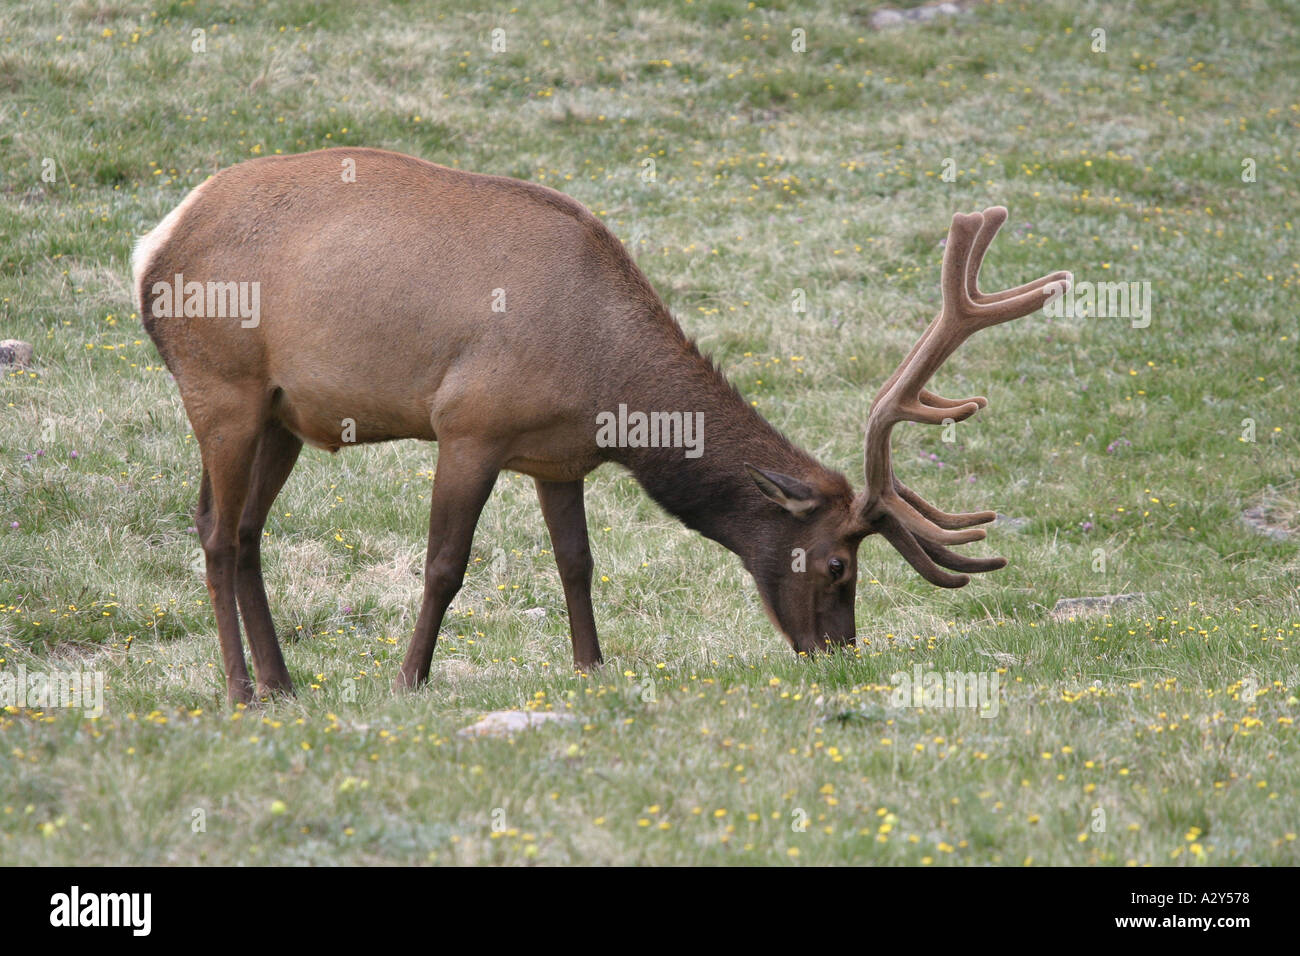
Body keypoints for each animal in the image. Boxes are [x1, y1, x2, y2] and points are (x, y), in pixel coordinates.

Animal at [131, 147, 1070, 704]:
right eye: (837, 564)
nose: (839, 655)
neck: (605, 380)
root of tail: (152, 245)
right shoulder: (468, 424)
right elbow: (444, 566)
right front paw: (409, 678)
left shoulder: (558, 458)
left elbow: (578, 565)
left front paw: (591, 668)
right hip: (221, 387)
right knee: (212, 529)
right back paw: (240, 690)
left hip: (282, 413)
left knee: (246, 532)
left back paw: (284, 683)